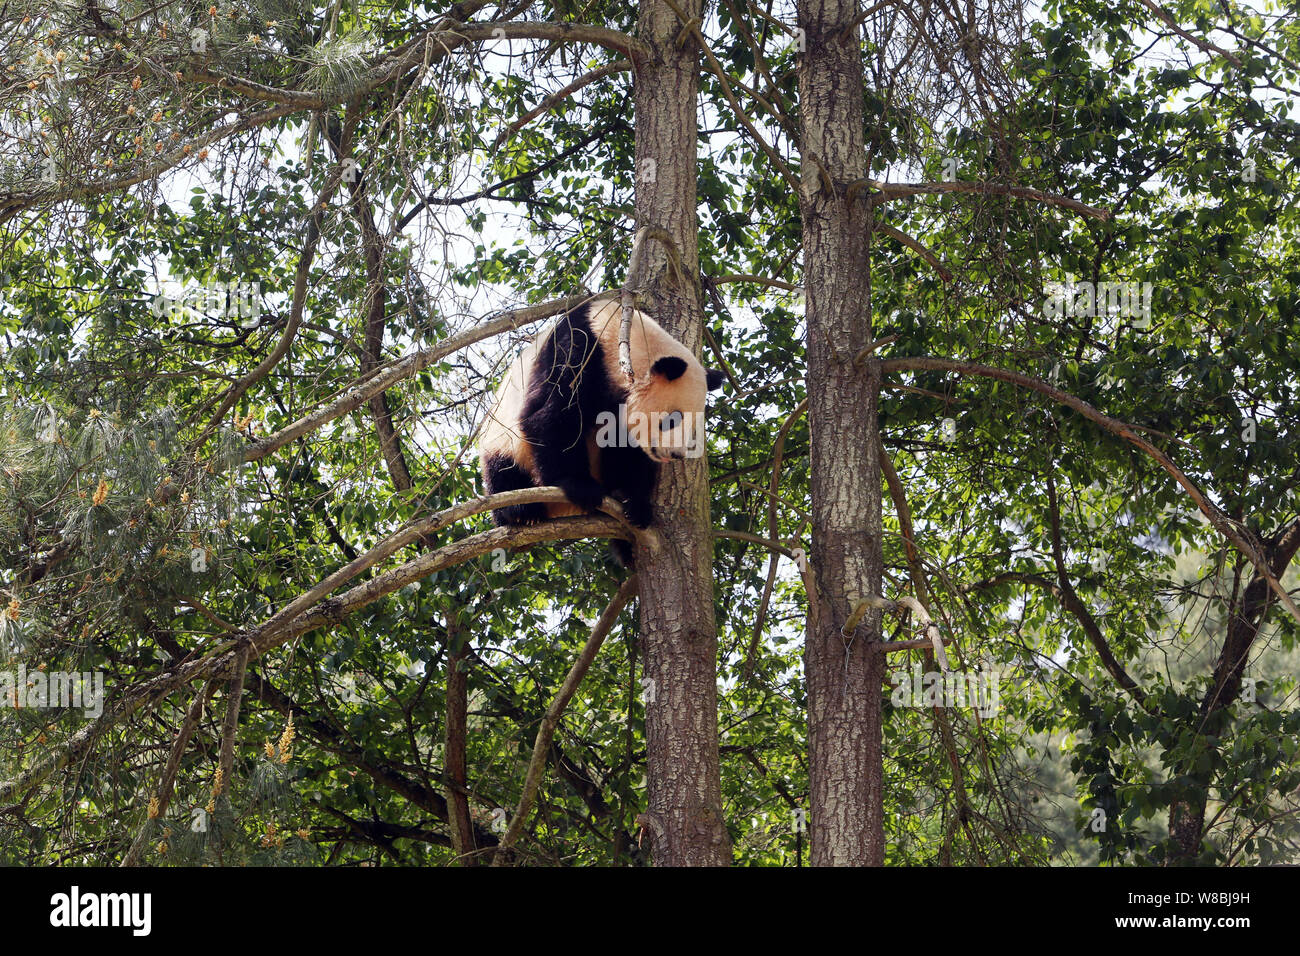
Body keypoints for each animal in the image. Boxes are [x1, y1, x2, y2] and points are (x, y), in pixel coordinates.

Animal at [479, 295, 724, 556]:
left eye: (693, 425)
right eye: (672, 419)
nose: (676, 454)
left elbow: (626, 449)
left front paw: (635, 504)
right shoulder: (577, 350)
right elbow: (552, 415)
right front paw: (580, 486)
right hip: (503, 437)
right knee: (502, 469)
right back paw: (522, 513)